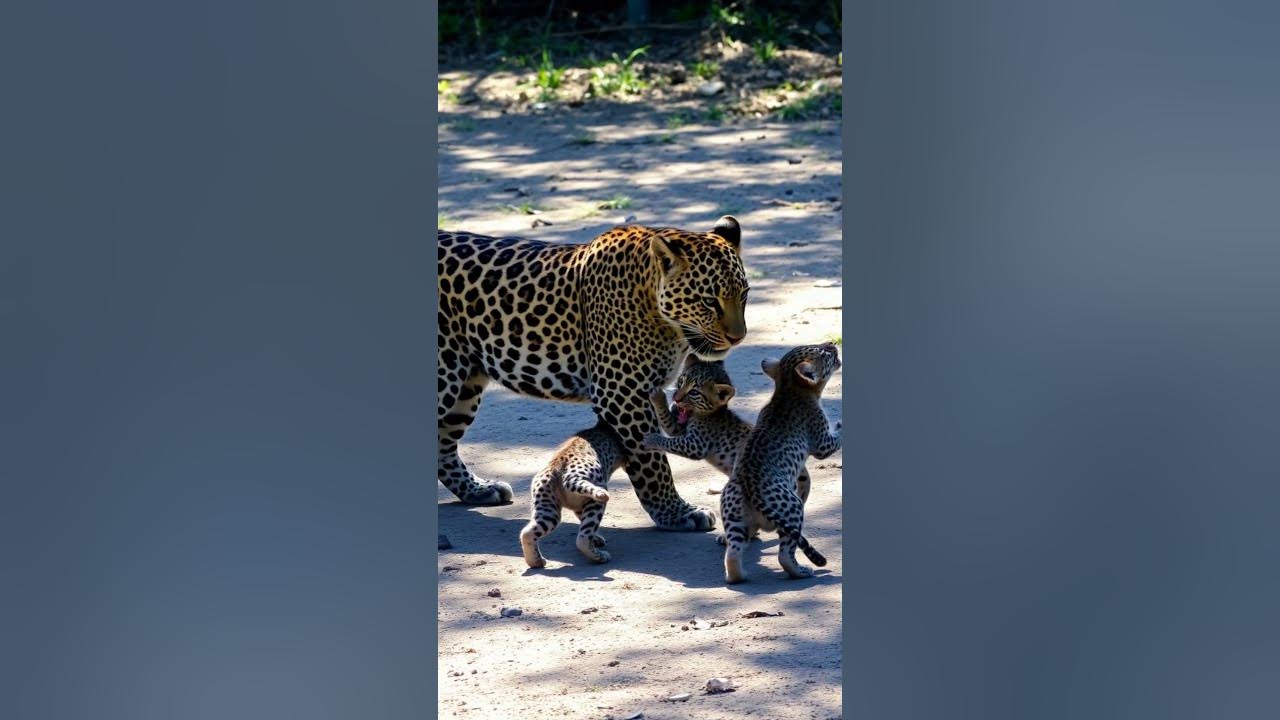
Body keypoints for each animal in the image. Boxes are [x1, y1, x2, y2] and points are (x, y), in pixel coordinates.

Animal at [437, 216, 750, 531]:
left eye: (744, 295)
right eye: (709, 300)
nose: (738, 337)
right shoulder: (621, 394)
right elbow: (652, 463)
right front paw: (675, 512)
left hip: (465, 386)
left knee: (443, 444)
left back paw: (479, 490)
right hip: (445, 378)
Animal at [520, 422, 623, 568]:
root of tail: (559, 469)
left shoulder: (579, 507)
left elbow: (584, 521)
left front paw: (596, 537)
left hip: (548, 510)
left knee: (527, 533)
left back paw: (536, 561)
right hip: (595, 500)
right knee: (582, 538)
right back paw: (599, 557)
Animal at [642, 358, 812, 546]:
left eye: (694, 392)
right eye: (681, 381)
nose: (676, 397)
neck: (711, 412)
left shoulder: (695, 445)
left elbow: (669, 438)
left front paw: (652, 434)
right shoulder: (679, 429)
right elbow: (669, 422)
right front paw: (667, 403)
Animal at [721, 342, 842, 584]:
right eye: (823, 352)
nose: (832, 344)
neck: (787, 388)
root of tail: (754, 492)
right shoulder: (822, 443)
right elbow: (837, 439)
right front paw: (843, 424)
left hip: (733, 516)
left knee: (733, 553)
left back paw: (738, 576)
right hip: (793, 511)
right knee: (785, 554)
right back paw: (803, 571)